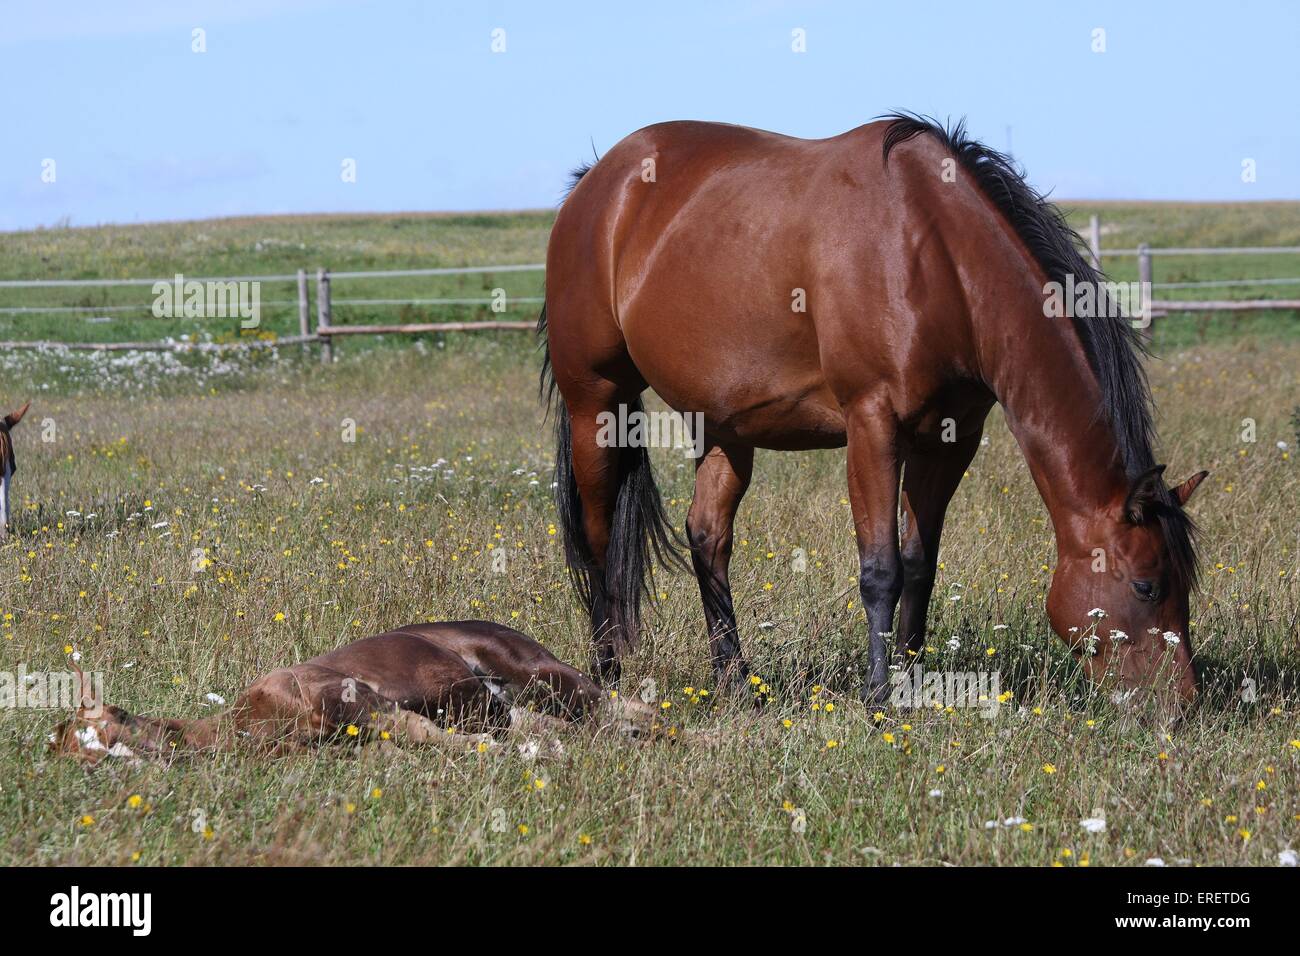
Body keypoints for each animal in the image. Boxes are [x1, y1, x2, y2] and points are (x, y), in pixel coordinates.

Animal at [538, 114, 1207, 708]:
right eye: (1146, 584)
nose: (1182, 704)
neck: (934, 257)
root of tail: (597, 183)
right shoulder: (871, 423)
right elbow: (880, 568)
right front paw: (878, 696)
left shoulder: (950, 439)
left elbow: (919, 562)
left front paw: (911, 684)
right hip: (596, 403)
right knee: (597, 538)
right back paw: (607, 672)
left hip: (723, 426)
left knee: (707, 536)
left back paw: (733, 681)